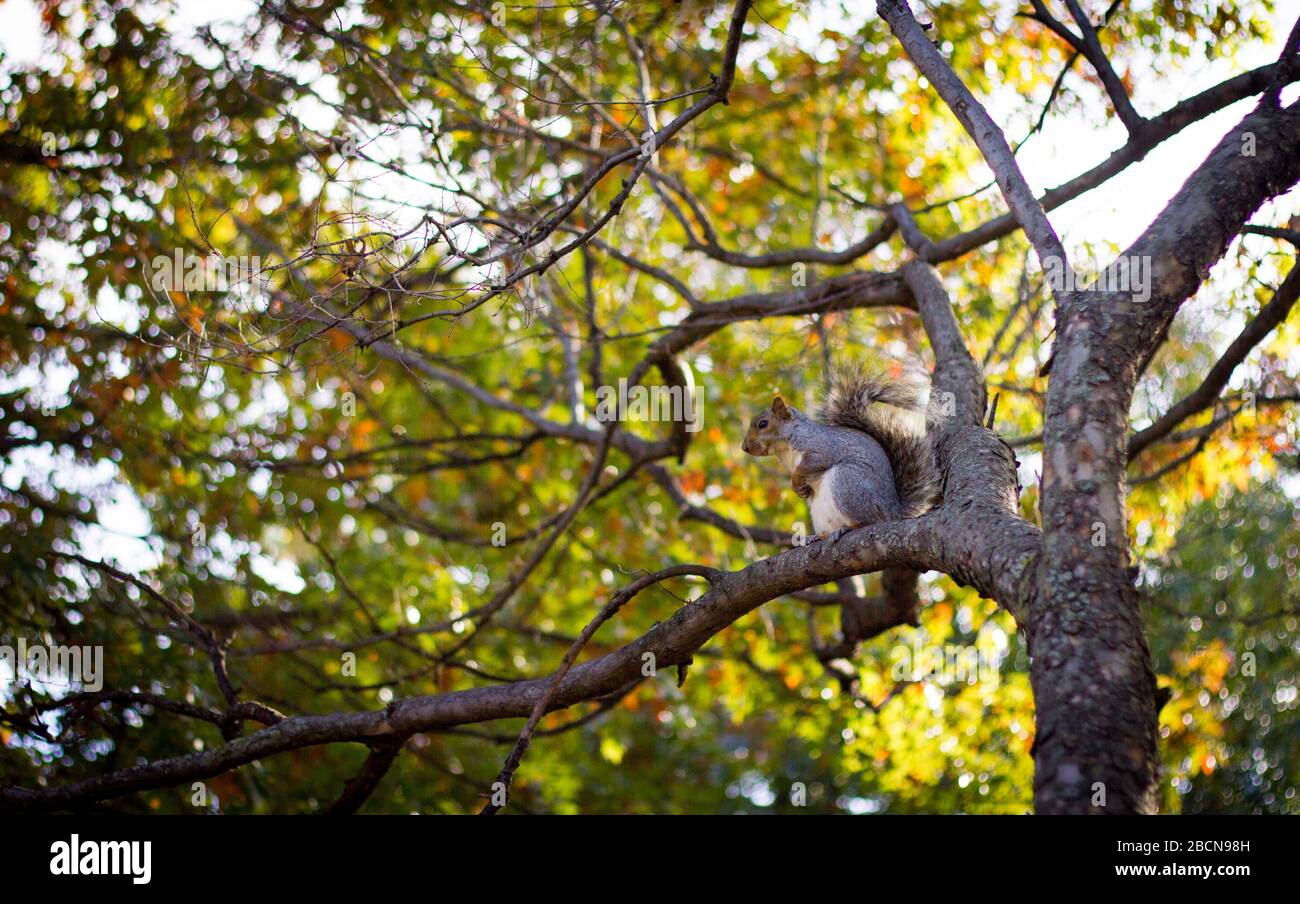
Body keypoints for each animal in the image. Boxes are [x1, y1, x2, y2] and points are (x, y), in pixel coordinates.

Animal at [742, 367, 940, 542]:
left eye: (763, 424)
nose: (745, 447)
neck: (784, 449)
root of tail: (892, 511)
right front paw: (799, 489)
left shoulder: (821, 447)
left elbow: (811, 463)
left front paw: (796, 479)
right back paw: (818, 537)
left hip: (848, 481)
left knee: (869, 520)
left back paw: (850, 527)